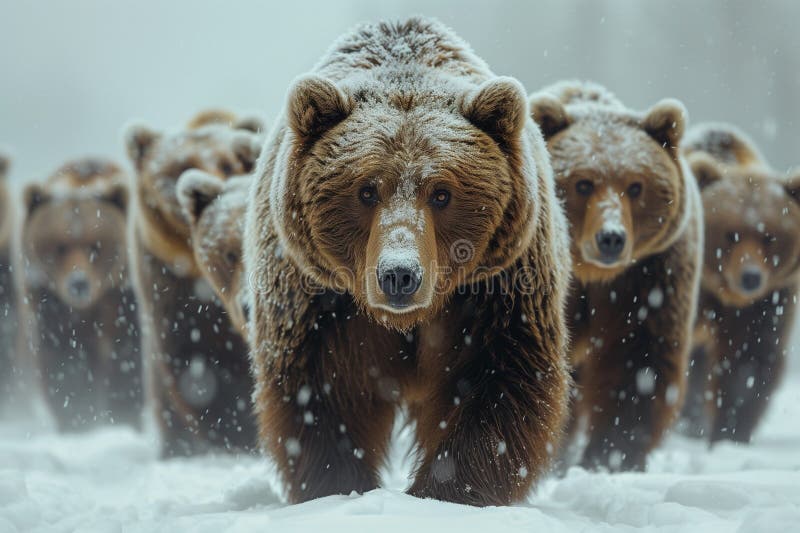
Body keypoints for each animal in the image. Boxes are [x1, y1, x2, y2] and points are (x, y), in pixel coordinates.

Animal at [18, 158, 142, 431]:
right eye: (59, 246)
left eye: (95, 246)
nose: (78, 283)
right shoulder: (49, 305)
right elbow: (64, 362)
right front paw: (77, 417)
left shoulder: (120, 298)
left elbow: (124, 358)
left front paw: (121, 416)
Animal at [245, 17, 572, 506]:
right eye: (366, 190)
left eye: (442, 193)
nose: (399, 274)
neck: (407, 321)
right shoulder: (318, 300)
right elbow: (321, 393)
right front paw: (341, 486)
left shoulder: (496, 290)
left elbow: (497, 384)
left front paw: (444, 491)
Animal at [529, 81, 703, 471]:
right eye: (583, 183)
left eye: (636, 186)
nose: (611, 238)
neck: (591, 275)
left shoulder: (650, 274)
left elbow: (636, 362)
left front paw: (611, 456)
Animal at [680, 122, 800, 443]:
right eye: (730, 234)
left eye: (769, 237)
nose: (750, 277)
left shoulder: (768, 301)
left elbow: (747, 362)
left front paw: (730, 432)